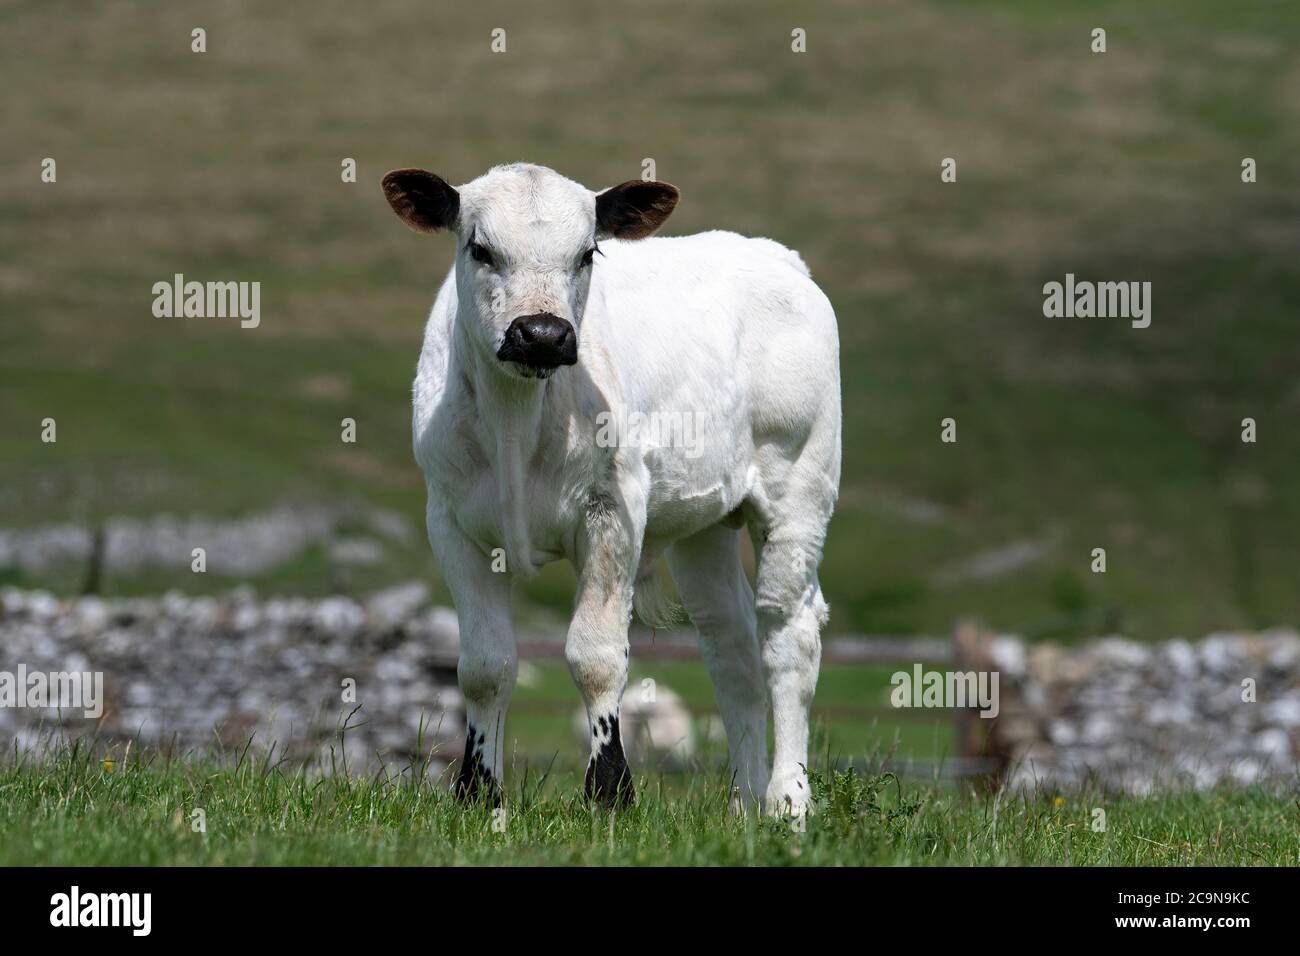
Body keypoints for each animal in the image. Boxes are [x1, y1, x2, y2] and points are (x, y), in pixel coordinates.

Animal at [382, 163, 840, 815]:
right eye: (480, 248)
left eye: (587, 252)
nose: (542, 334)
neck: (517, 419)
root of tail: (776, 255)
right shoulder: (451, 522)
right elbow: (485, 666)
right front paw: (479, 796)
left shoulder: (612, 513)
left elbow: (596, 657)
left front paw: (609, 793)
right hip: (704, 527)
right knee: (731, 648)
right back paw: (742, 807)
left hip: (797, 492)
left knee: (788, 636)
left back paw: (788, 803)